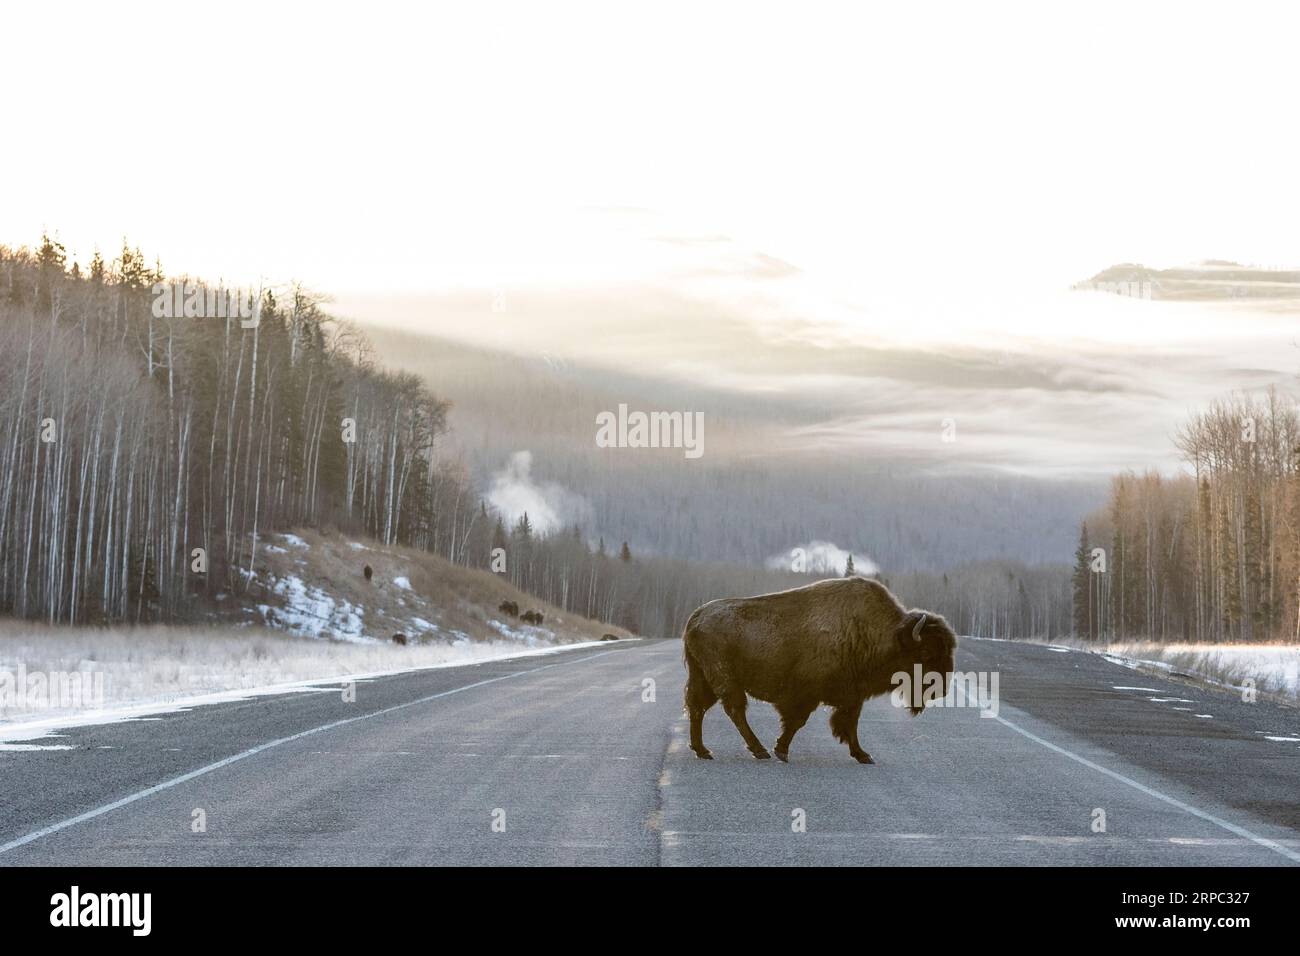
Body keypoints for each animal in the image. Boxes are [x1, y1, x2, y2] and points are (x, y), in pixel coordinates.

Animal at [682, 577, 957, 763]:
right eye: (926, 653)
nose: (940, 690)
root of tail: (696, 616)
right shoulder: (807, 695)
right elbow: (798, 721)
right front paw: (781, 750)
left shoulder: (853, 696)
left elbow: (850, 724)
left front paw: (863, 755)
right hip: (724, 679)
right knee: (734, 710)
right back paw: (759, 751)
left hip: (702, 677)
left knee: (698, 708)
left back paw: (703, 751)